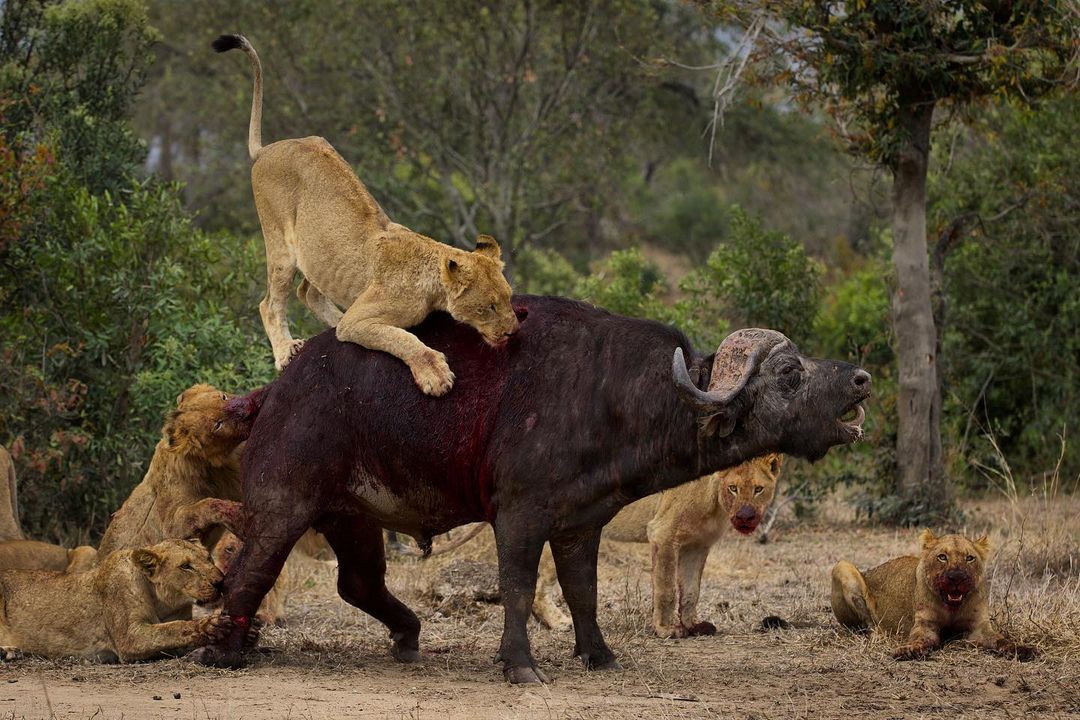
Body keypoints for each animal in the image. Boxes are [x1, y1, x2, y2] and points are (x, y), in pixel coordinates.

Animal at [0, 539, 232, 662]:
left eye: (208, 558)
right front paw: (210, 625)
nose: (220, 581)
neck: (164, 603)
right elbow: (173, 629)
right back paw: (8, 652)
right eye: (186, 566)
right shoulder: (129, 638)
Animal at [97, 384, 262, 558]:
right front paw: (238, 518)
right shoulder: (169, 526)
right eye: (218, 425)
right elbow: (204, 506)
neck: (223, 462)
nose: (249, 409)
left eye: (223, 397)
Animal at [191, 295, 870, 683]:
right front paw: (519, 664)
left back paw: (408, 635)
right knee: (251, 569)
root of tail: (276, 389)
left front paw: (598, 654)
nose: (861, 379)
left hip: (351, 517)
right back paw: (225, 650)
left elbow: (583, 593)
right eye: (789, 373)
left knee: (356, 582)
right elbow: (518, 590)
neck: (610, 393)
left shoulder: (580, 525)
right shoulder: (518, 518)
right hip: (284, 504)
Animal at [212, 34, 518, 393]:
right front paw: (435, 373)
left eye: (509, 298)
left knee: (308, 293)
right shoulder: (363, 319)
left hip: (320, 250)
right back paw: (286, 351)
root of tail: (265, 150)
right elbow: (400, 338)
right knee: (270, 304)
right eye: (489, 306)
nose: (513, 331)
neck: (430, 275)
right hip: (280, 249)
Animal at [831, 529, 1038, 661]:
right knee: (866, 624)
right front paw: (908, 651)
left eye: (969, 558)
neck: (951, 607)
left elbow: (1001, 639)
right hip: (842, 565)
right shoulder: (925, 625)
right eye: (942, 557)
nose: (956, 577)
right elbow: (919, 639)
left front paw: (1022, 649)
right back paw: (879, 634)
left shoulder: (979, 627)